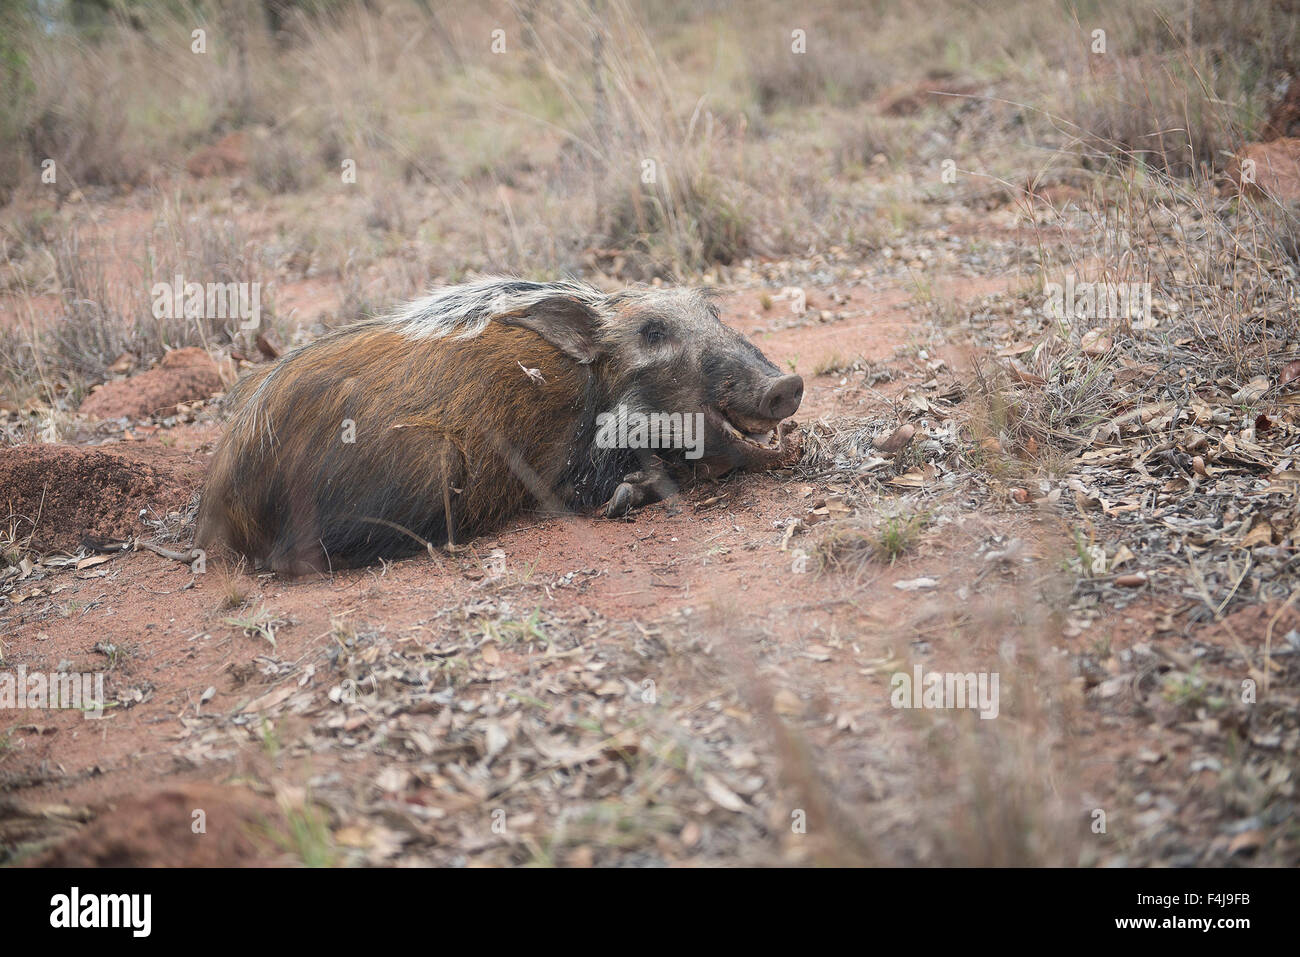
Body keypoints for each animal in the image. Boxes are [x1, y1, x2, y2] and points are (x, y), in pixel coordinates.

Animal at [195, 278, 803, 574]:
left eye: (713, 312)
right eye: (653, 332)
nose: (787, 384)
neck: (592, 385)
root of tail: (218, 506)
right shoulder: (570, 476)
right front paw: (629, 496)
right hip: (433, 469)